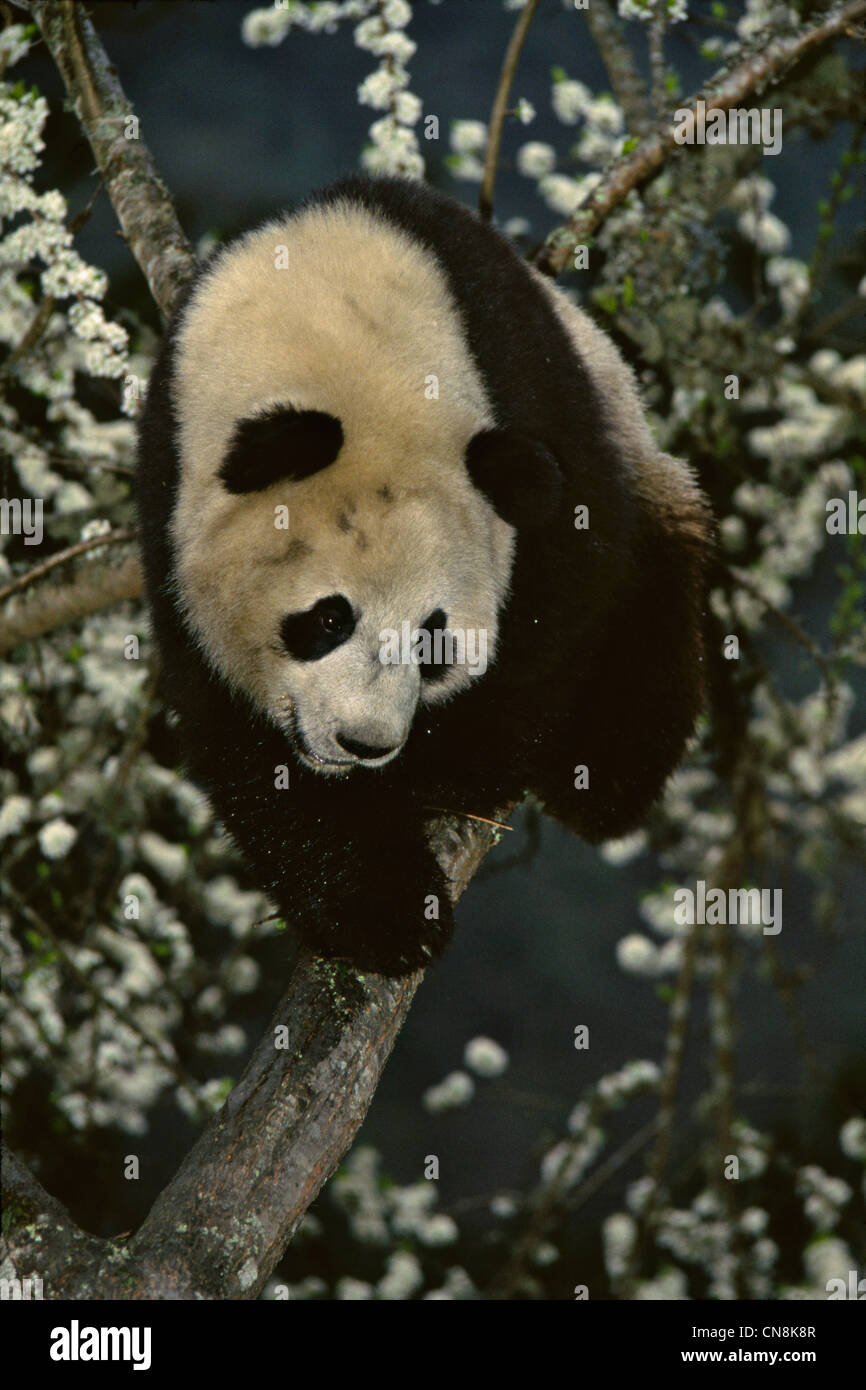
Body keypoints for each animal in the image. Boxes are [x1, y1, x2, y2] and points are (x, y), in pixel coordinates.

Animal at [136, 174, 712, 976]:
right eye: (328, 618)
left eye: (434, 640)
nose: (366, 744)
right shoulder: (171, 495)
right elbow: (237, 733)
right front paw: (385, 910)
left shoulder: (534, 394)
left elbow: (556, 615)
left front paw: (444, 772)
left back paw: (601, 777)